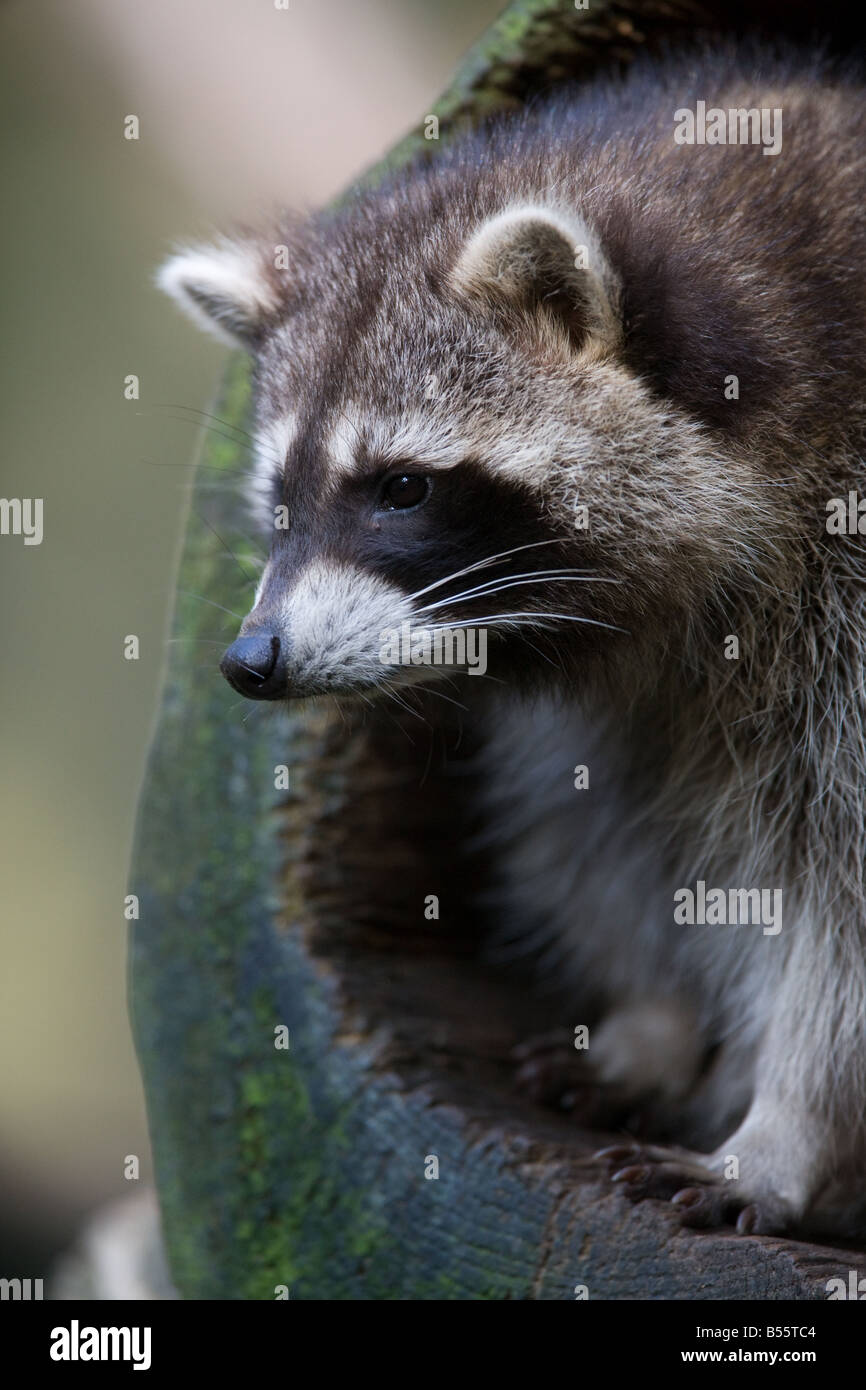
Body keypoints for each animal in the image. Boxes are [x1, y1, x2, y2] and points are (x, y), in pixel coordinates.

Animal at [158, 44, 866, 1239]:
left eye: (401, 488)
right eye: (280, 502)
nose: (252, 663)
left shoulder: (849, 604)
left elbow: (842, 908)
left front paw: (782, 1136)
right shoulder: (618, 684)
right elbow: (611, 823)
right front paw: (650, 1021)